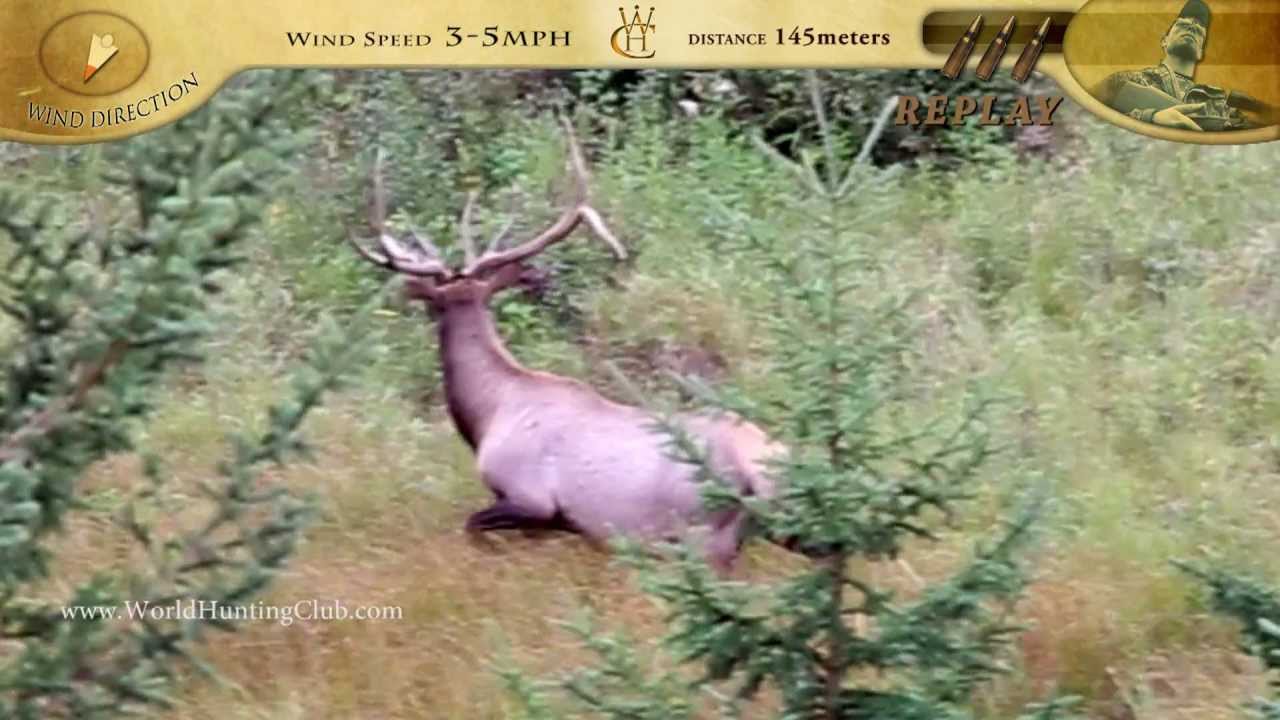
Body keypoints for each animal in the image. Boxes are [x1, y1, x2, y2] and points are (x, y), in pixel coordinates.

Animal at [347, 118, 785, 573]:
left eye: (434, 301)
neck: (488, 412)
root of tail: (762, 466)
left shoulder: (530, 498)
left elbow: (472, 530)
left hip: (704, 534)